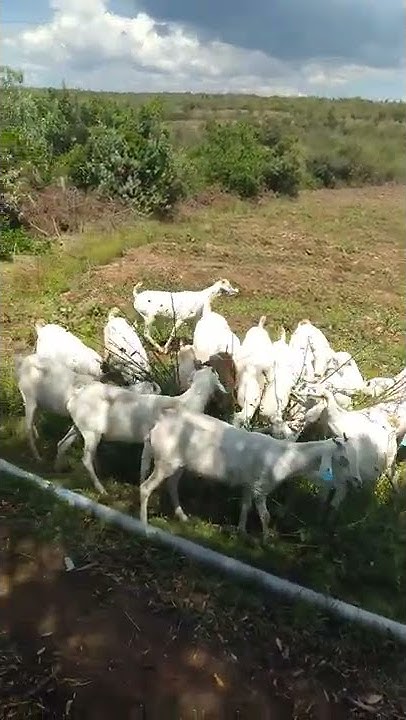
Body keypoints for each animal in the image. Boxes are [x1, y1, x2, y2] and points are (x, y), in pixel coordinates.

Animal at [56, 366, 227, 494]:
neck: (187, 402)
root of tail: (76, 395)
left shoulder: (148, 443)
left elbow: (143, 466)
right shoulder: (151, 441)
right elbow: (145, 467)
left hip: (79, 427)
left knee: (62, 444)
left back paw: (57, 470)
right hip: (92, 433)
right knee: (86, 459)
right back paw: (101, 489)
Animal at [139, 409, 362, 539]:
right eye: (344, 459)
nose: (358, 481)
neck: (286, 457)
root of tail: (155, 429)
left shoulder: (249, 484)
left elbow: (245, 507)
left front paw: (241, 532)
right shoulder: (261, 487)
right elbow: (265, 515)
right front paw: (266, 541)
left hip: (177, 464)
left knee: (172, 485)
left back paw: (183, 517)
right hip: (165, 462)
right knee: (145, 488)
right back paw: (145, 527)